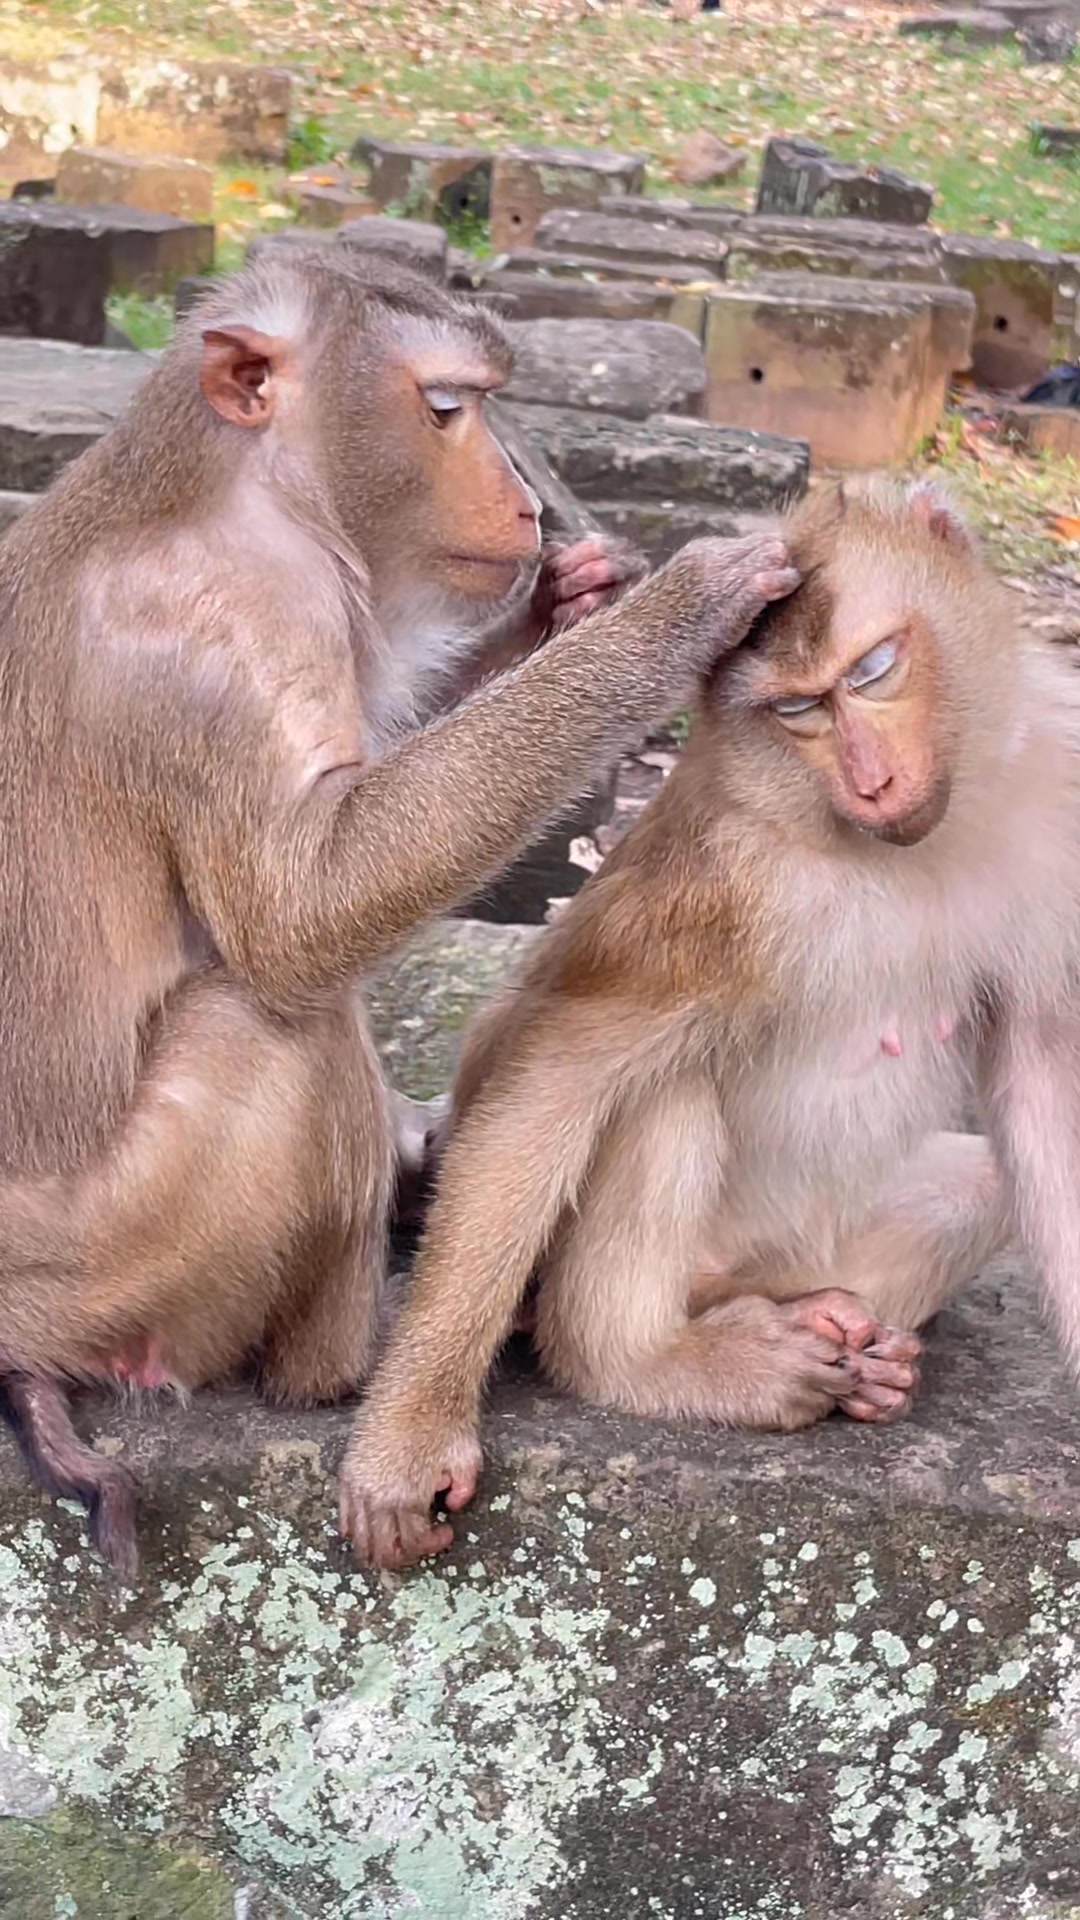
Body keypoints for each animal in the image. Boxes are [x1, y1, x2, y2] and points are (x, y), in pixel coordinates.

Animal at [0, 239, 800, 1575]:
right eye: (447, 408)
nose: (526, 505)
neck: (248, 493)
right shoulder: (218, 646)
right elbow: (302, 915)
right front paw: (670, 618)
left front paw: (568, 606)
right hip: (116, 1259)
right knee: (274, 1021)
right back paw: (350, 1359)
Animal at [340, 476, 1080, 1572]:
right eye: (798, 709)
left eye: (875, 668)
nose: (872, 780)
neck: (902, 853)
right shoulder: (727, 889)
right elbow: (558, 1062)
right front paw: (409, 1439)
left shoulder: (1053, 822)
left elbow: (1038, 1080)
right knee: (658, 1090)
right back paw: (647, 1359)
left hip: (799, 1252)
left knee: (981, 1180)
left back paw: (848, 1344)